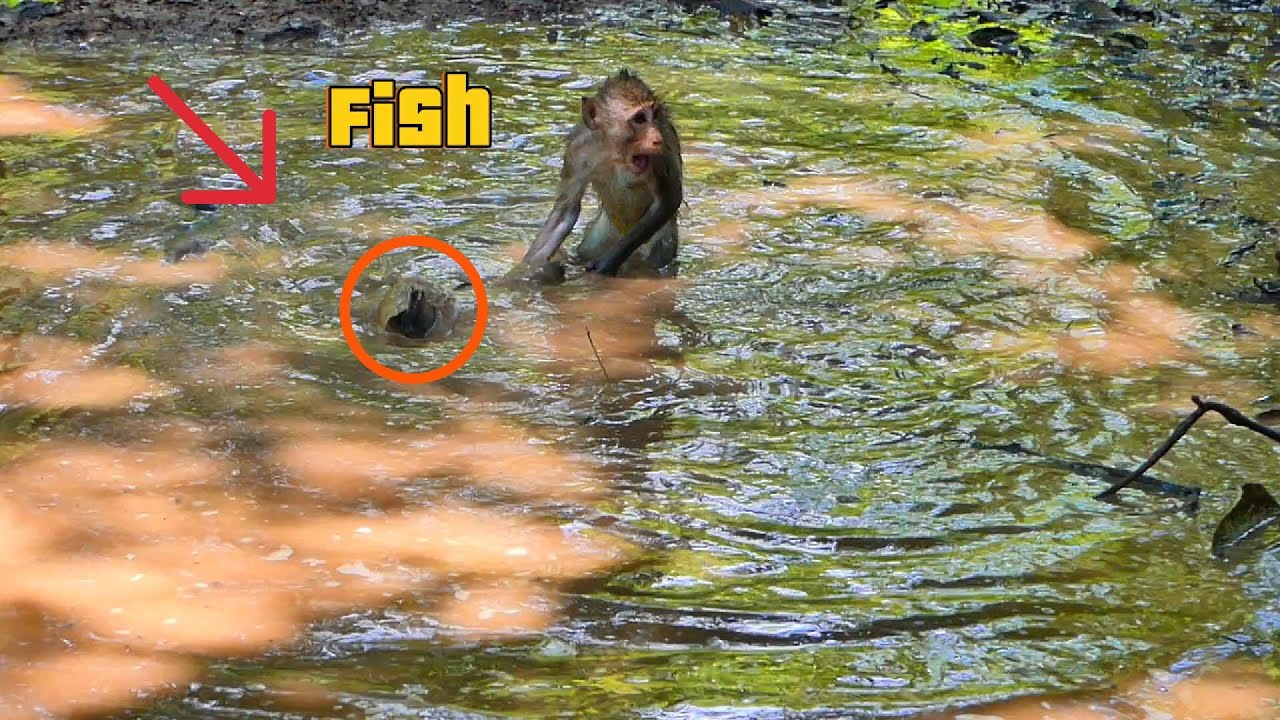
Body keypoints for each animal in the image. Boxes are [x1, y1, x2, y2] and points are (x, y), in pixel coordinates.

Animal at [516, 69, 683, 279]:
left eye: (654, 116)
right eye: (639, 118)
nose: (656, 138)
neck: (614, 151)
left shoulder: (661, 151)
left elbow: (669, 198)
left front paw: (606, 264)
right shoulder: (577, 149)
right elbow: (565, 211)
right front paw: (526, 269)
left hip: (660, 238)